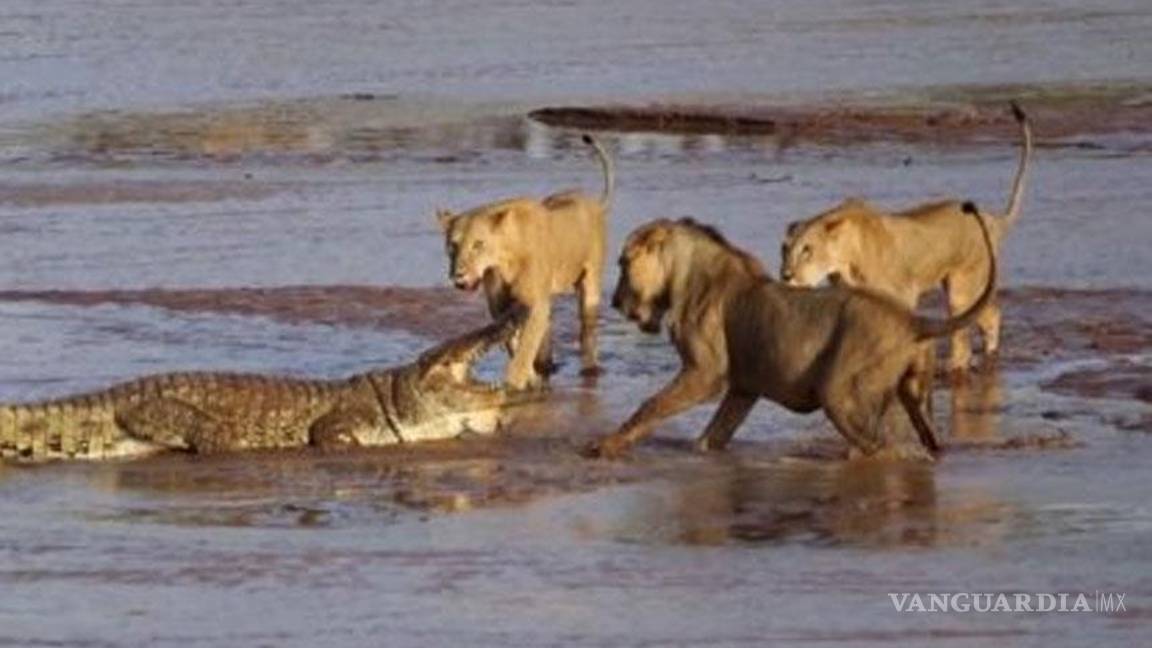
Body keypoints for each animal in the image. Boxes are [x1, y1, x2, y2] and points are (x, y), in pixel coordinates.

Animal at [436, 134, 614, 390]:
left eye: (478, 244)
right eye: (452, 245)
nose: (458, 274)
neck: (504, 259)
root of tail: (593, 202)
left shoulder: (535, 303)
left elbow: (525, 346)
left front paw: (515, 381)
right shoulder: (501, 307)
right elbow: (514, 341)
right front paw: (530, 375)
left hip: (590, 283)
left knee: (587, 328)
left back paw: (589, 369)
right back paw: (546, 364)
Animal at [586, 202, 995, 459]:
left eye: (623, 263)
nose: (615, 302)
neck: (684, 277)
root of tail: (912, 320)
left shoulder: (706, 374)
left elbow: (651, 405)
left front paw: (605, 446)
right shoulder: (743, 387)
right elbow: (712, 436)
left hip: (841, 393)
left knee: (879, 448)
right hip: (914, 396)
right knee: (928, 442)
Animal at [779, 102, 1031, 373]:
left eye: (807, 249)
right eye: (784, 250)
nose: (786, 276)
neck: (844, 261)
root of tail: (991, 218)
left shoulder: (903, 294)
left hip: (963, 287)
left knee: (968, 336)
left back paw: (954, 365)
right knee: (990, 315)